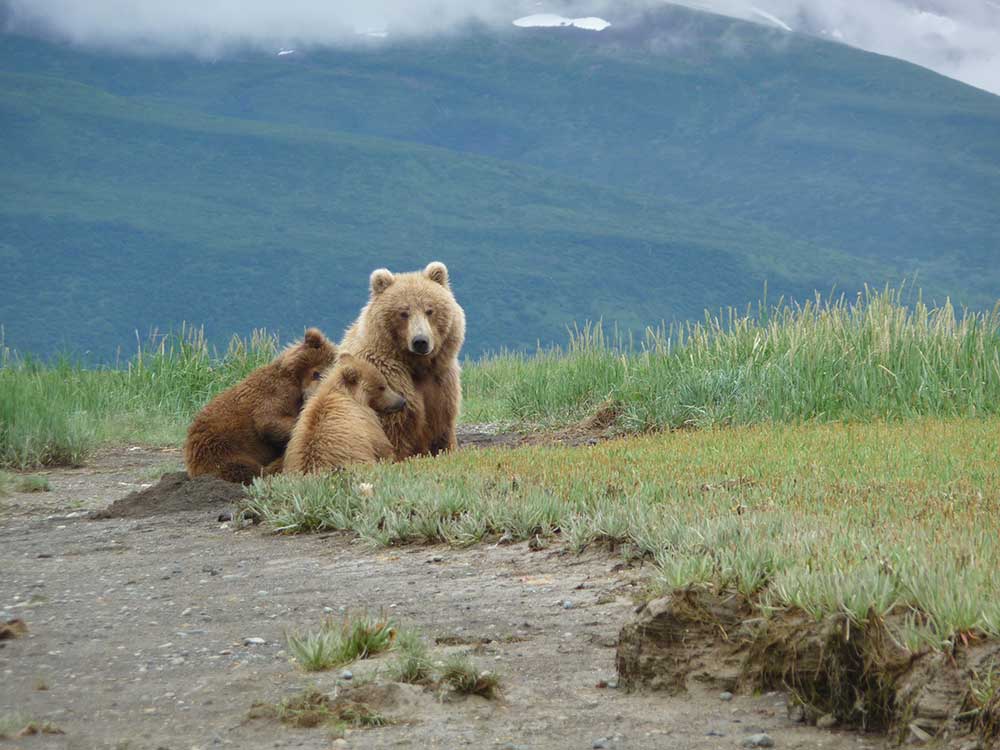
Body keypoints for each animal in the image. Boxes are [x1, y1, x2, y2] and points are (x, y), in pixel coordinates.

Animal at [184, 328, 337, 484]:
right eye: (317, 373)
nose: (313, 395)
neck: (297, 382)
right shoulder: (276, 391)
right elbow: (268, 421)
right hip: (222, 448)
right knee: (242, 468)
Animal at [338, 261, 465, 459]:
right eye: (403, 312)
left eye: (430, 310)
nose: (420, 341)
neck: (417, 367)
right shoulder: (389, 380)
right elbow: (395, 431)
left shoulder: (441, 384)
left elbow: (442, 430)